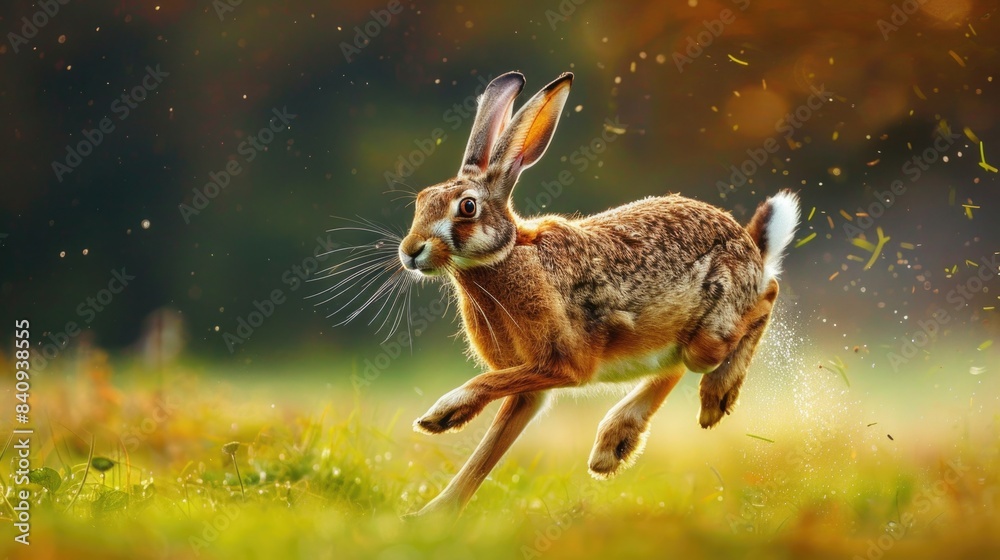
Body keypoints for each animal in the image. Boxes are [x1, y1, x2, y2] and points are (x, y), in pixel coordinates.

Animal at [398, 71, 800, 516]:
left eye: (466, 207)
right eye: (421, 201)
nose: (410, 251)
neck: (511, 255)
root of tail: (751, 249)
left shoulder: (564, 364)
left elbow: (488, 383)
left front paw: (444, 413)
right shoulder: (528, 390)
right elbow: (487, 452)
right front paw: (432, 515)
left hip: (712, 334)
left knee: (765, 298)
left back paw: (715, 396)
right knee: (674, 364)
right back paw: (615, 444)